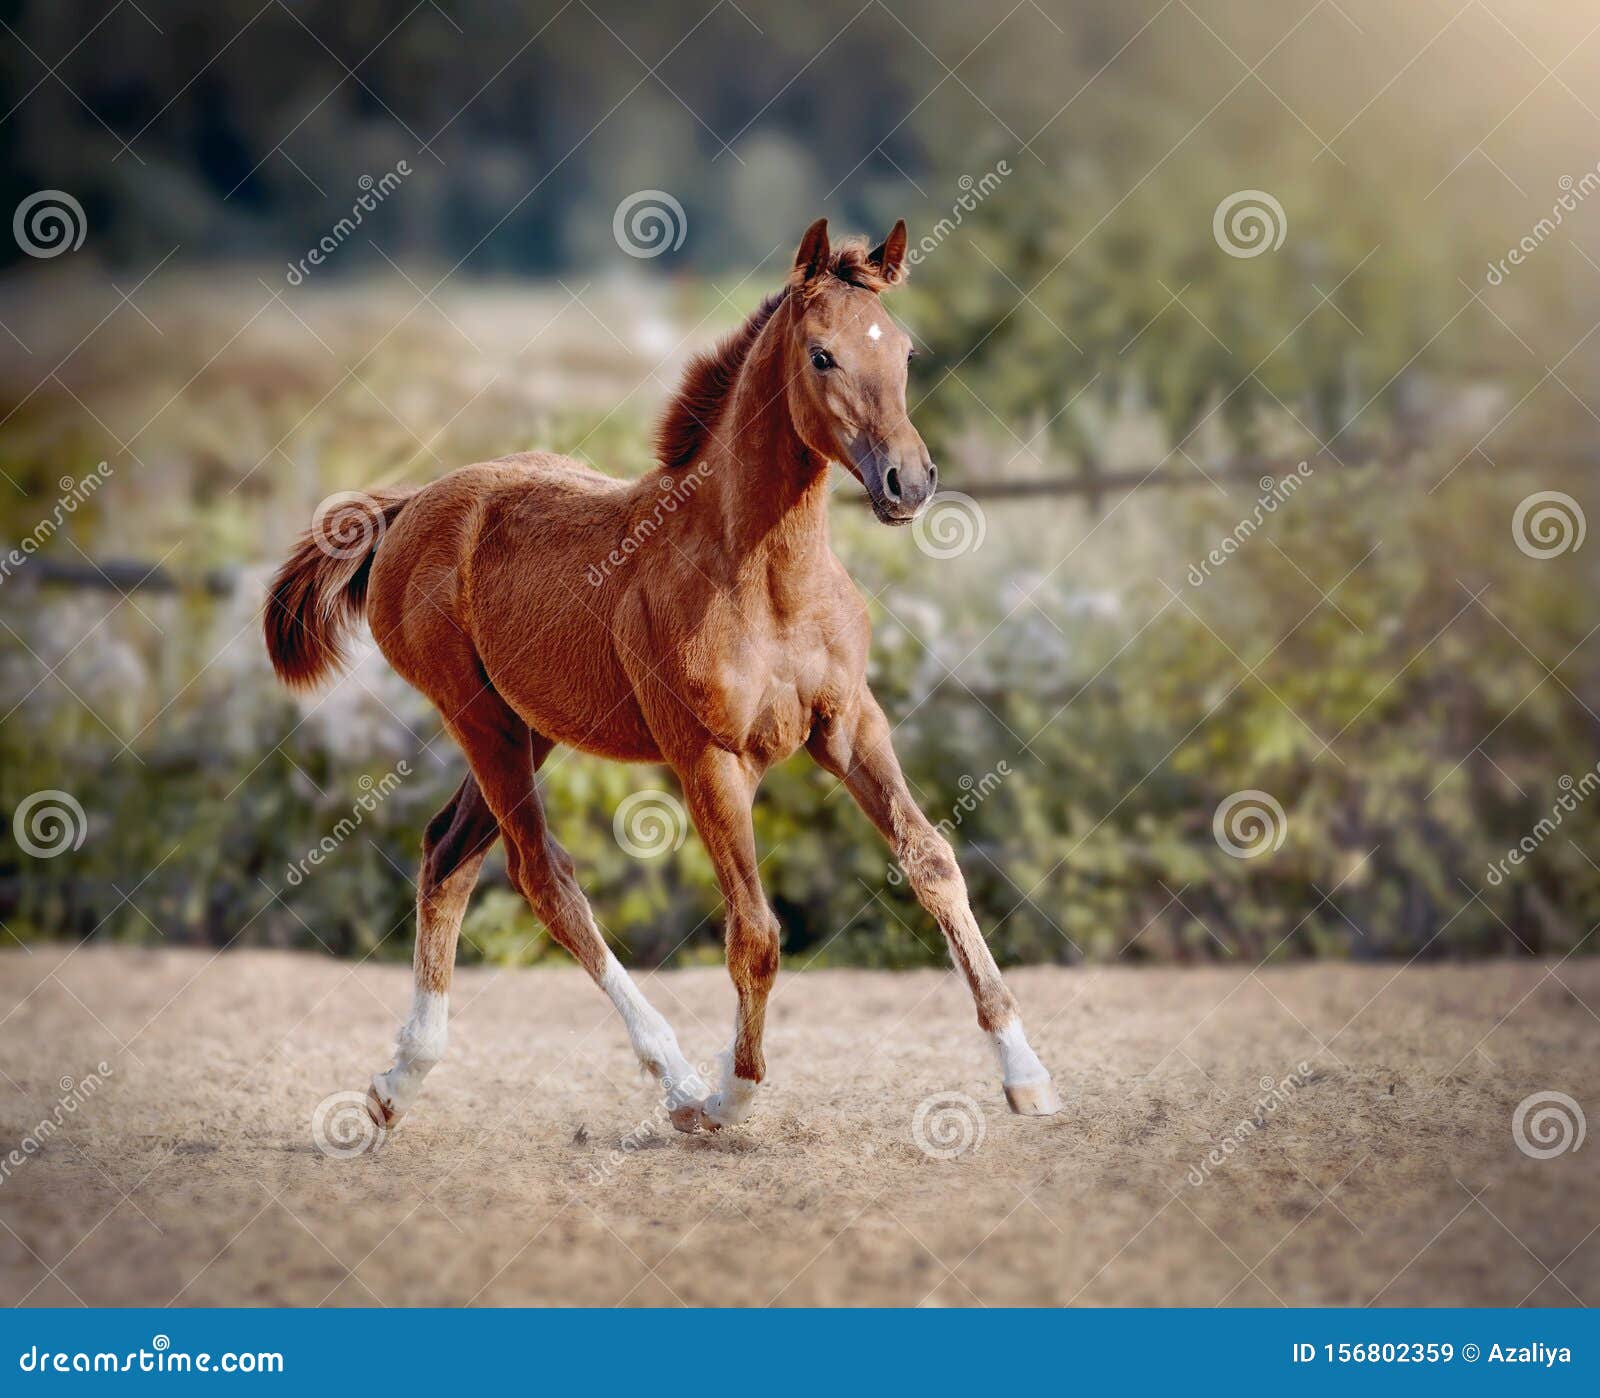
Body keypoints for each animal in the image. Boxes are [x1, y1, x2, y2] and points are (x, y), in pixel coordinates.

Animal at [263, 218, 1060, 1135]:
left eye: (904, 350)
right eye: (821, 355)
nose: (910, 481)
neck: (766, 576)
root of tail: (409, 507)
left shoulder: (851, 725)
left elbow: (932, 862)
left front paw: (1027, 1072)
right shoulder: (706, 756)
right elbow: (755, 929)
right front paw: (734, 1091)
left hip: (528, 725)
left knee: (447, 856)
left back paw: (400, 1081)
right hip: (479, 721)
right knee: (542, 877)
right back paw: (676, 1081)